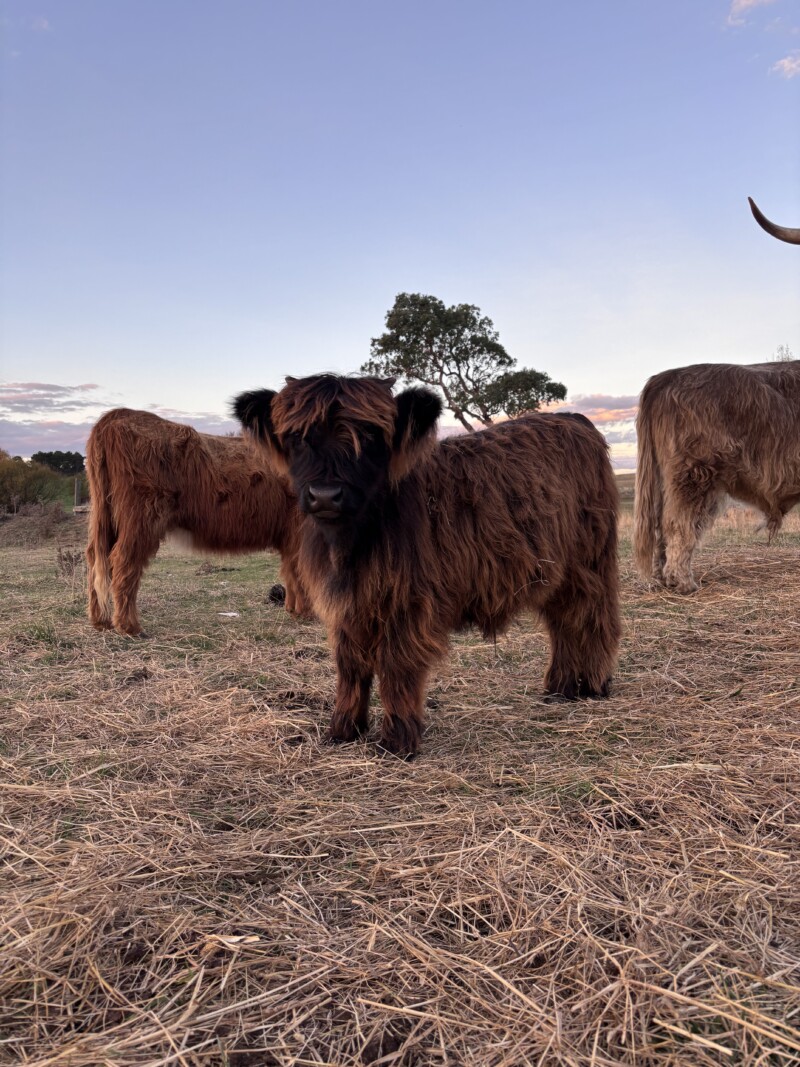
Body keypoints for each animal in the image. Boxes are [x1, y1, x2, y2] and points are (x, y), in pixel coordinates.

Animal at [85, 408, 309, 636]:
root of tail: (117, 416)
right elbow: (300, 571)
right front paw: (306, 612)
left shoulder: (290, 535)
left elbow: (291, 571)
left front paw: (294, 610)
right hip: (141, 517)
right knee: (123, 560)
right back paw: (129, 626)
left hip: (105, 516)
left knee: (97, 558)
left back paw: (100, 621)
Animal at [234, 375, 620, 756]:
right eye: (297, 438)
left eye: (370, 436)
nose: (326, 495)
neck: (350, 546)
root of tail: (574, 419)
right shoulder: (347, 606)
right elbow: (350, 664)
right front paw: (343, 729)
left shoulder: (410, 603)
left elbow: (396, 665)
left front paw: (397, 740)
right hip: (558, 572)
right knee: (563, 624)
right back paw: (560, 688)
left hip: (590, 564)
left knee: (594, 619)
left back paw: (594, 684)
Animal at [634, 361, 800, 594]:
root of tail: (667, 375)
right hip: (695, 477)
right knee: (678, 524)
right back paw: (683, 582)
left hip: (664, 483)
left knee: (661, 529)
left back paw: (662, 578)